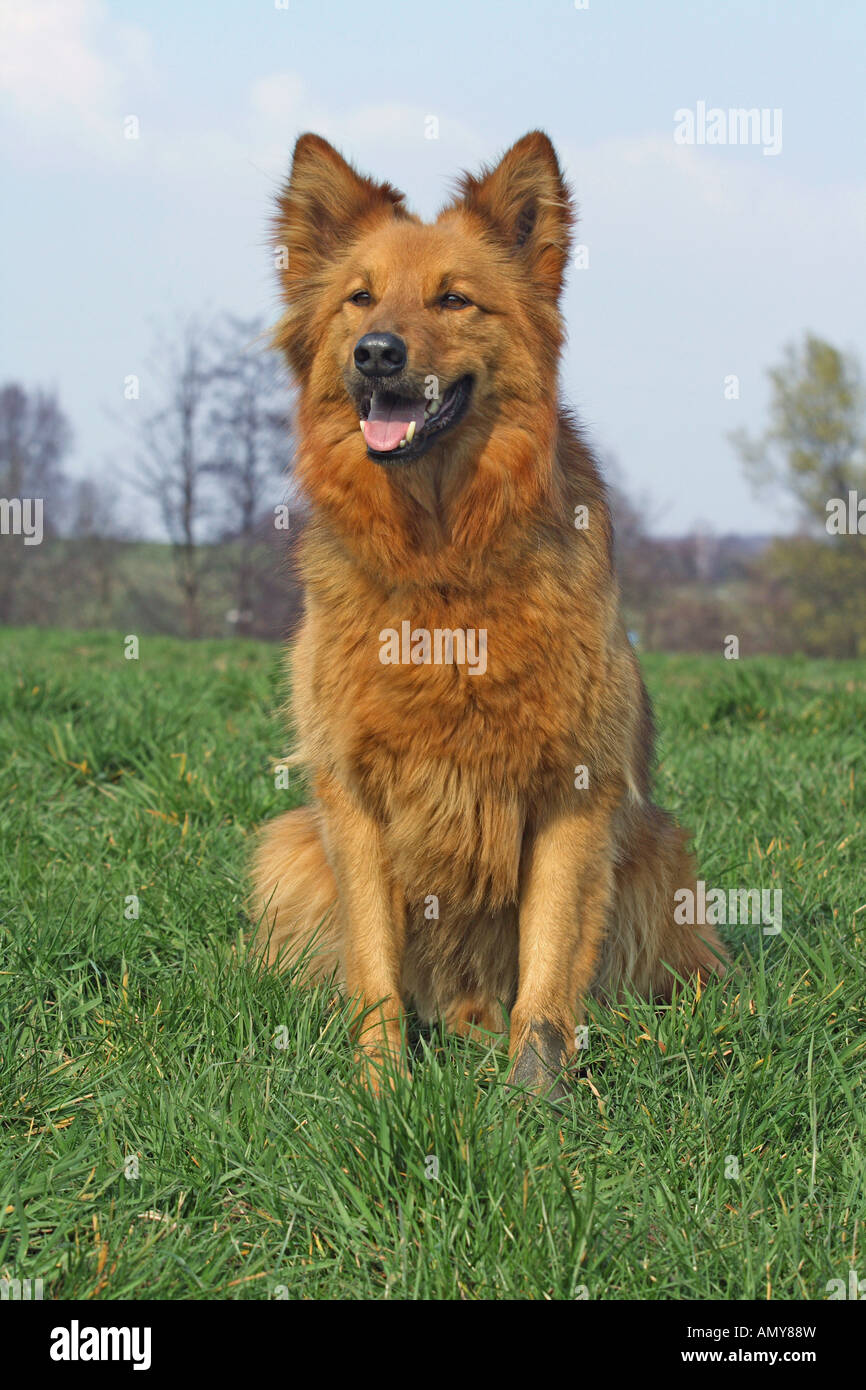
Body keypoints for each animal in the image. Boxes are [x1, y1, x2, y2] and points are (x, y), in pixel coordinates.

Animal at [250, 130, 726, 1098]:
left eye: (453, 298)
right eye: (360, 297)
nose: (377, 353)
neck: (441, 560)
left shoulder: (574, 795)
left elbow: (546, 976)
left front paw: (536, 1103)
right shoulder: (352, 795)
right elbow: (374, 967)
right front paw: (381, 1092)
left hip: (662, 856)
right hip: (288, 845)